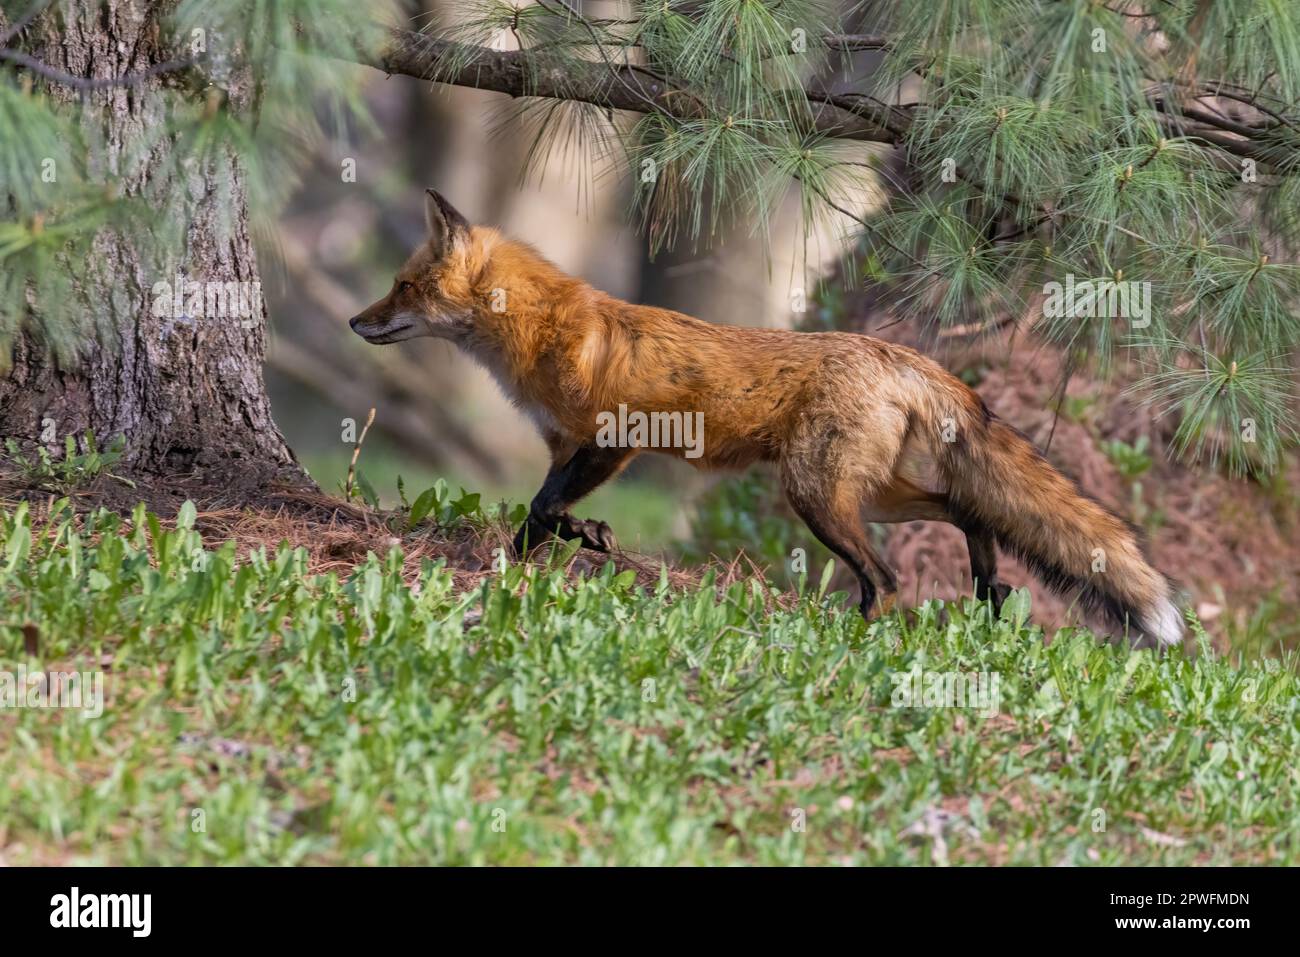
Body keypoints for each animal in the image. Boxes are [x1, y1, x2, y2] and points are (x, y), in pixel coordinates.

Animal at [349, 189, 1185, 648]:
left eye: (402, 286)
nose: (357, 322)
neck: (540, 329)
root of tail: (897, 352)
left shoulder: (611, 441)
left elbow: (542, 507)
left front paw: (576, 539)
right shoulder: (570, 448)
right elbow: (536, 517)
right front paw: (531, 559)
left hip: (816, 496)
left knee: (887, 577)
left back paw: (854, 636)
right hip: (868, 494)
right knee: (968, 509)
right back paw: (988, 588)